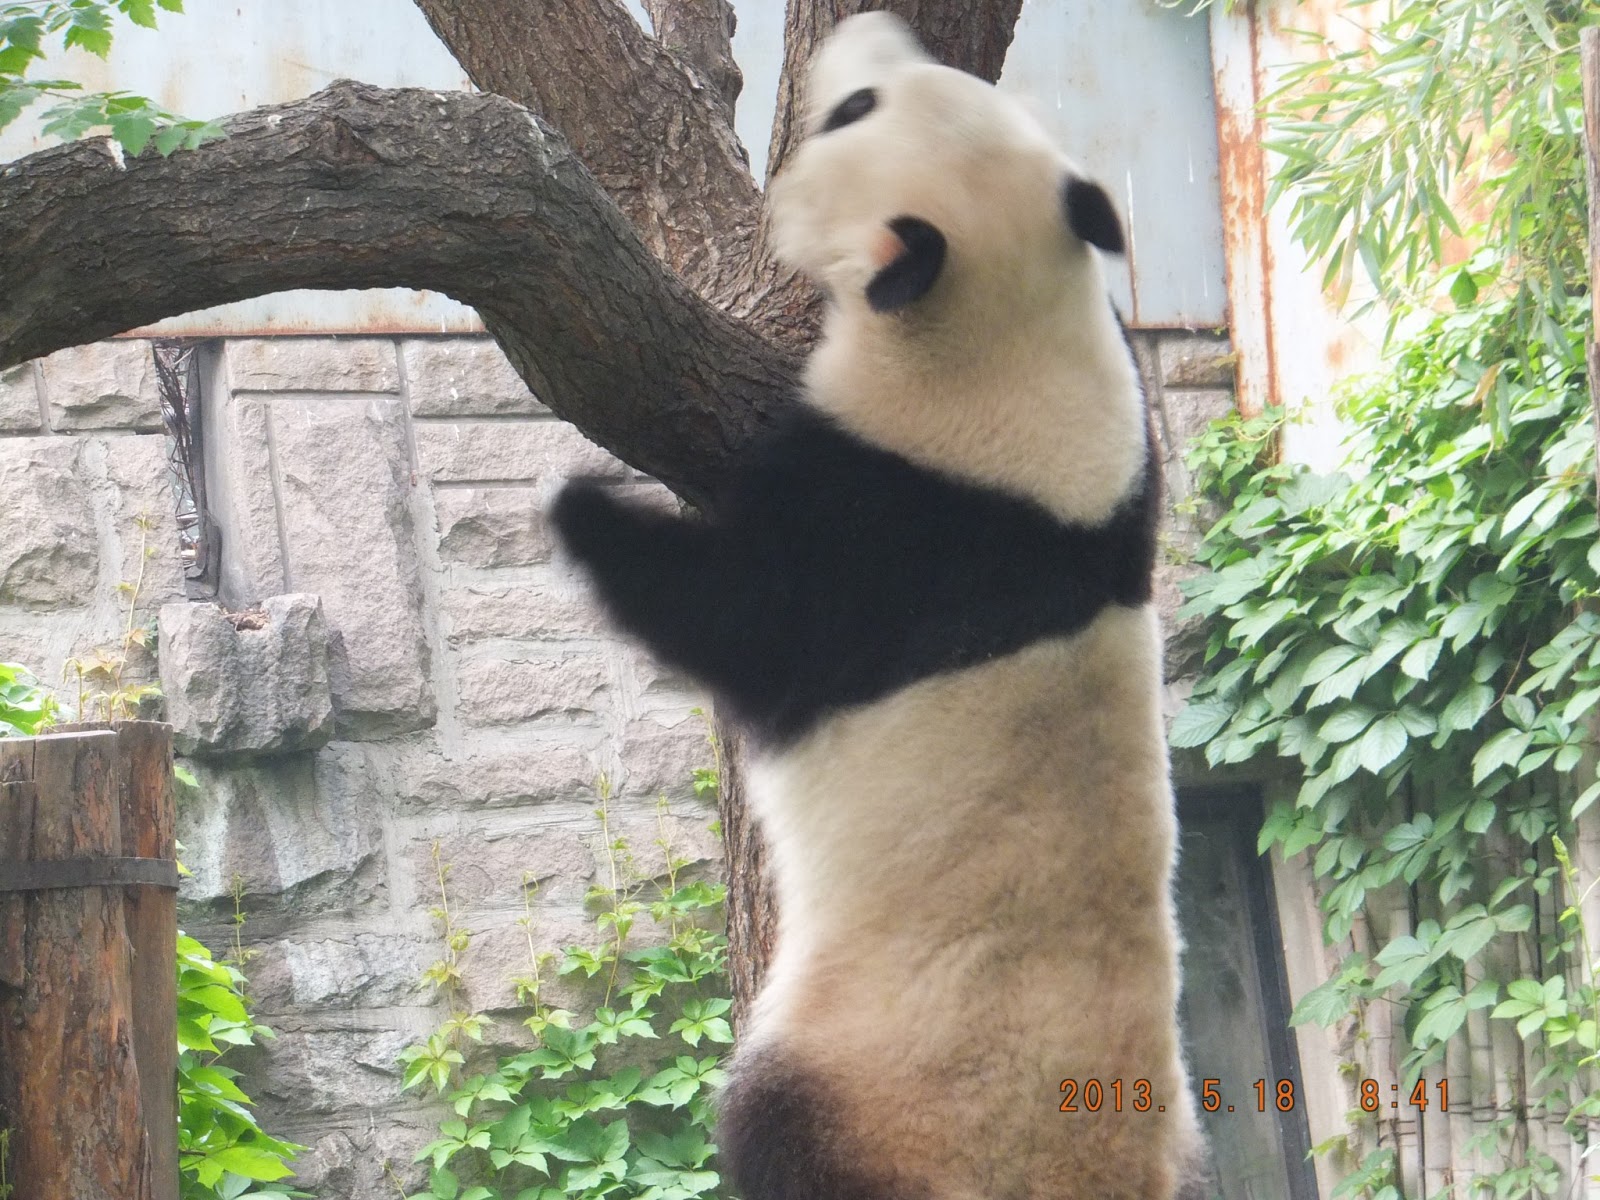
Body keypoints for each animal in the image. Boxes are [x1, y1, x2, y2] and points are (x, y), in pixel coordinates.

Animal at [551, 12, 1199, 1200]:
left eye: (856, 114)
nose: (863, 29)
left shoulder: (898, 536)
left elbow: (743, 615)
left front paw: (582, 505)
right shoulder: (1127, 466)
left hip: (882, 1072)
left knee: (780, 1125)